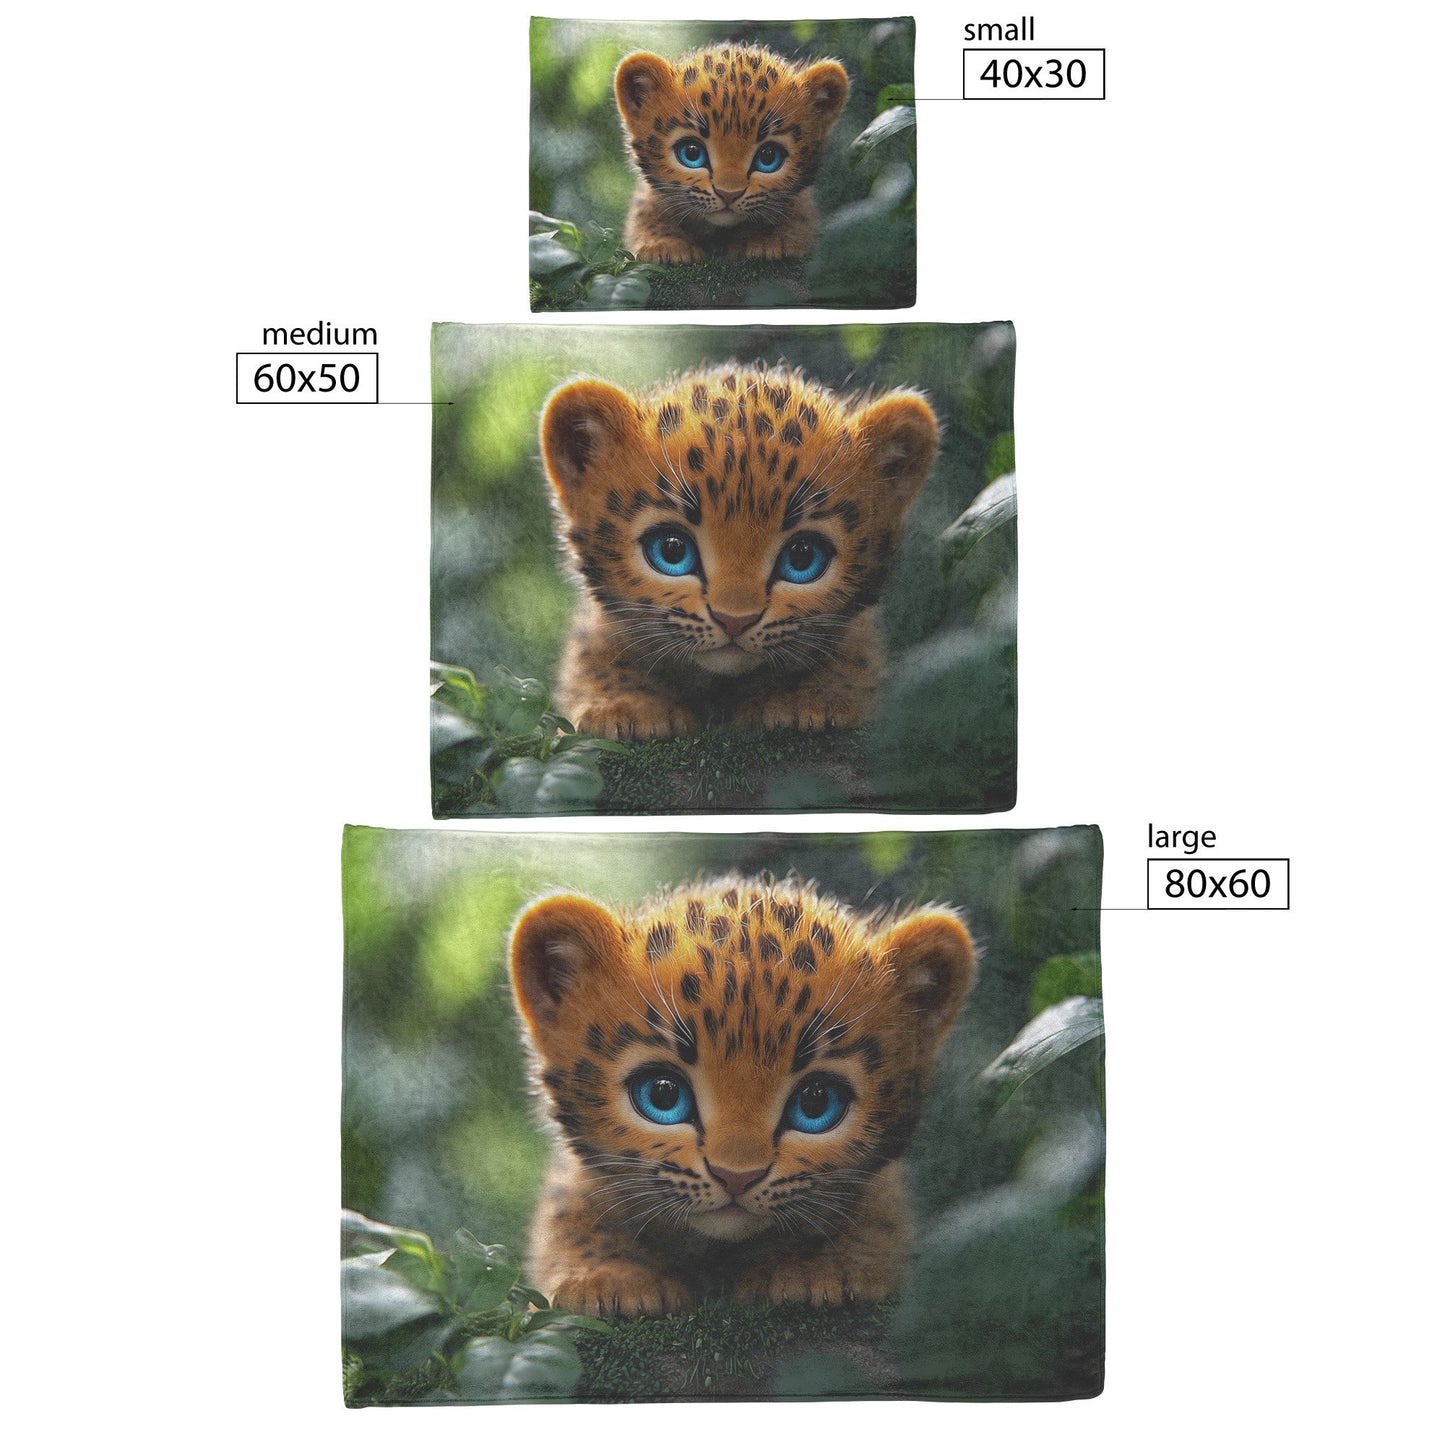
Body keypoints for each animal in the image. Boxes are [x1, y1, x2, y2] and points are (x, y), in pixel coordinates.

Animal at [508, 874, 976, 1316]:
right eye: (662, 1096)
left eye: (816, 1103)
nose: (736, 1176)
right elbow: (573, 1224)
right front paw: (608, 1278)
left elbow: (874, 1223)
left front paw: (821, 1269)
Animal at [538, 362, 940, 739]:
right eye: (671, 551)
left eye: (802, 558)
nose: (734, 620)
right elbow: (597, 663)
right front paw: (626, 706)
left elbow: (850, 662)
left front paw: (807, 699)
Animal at [614, 44, 850, 264]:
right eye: (691, 153)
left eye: (768, 158)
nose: (728, 194)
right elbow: (647, 217)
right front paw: (664, 245)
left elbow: (798, 217)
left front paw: (769, 241)